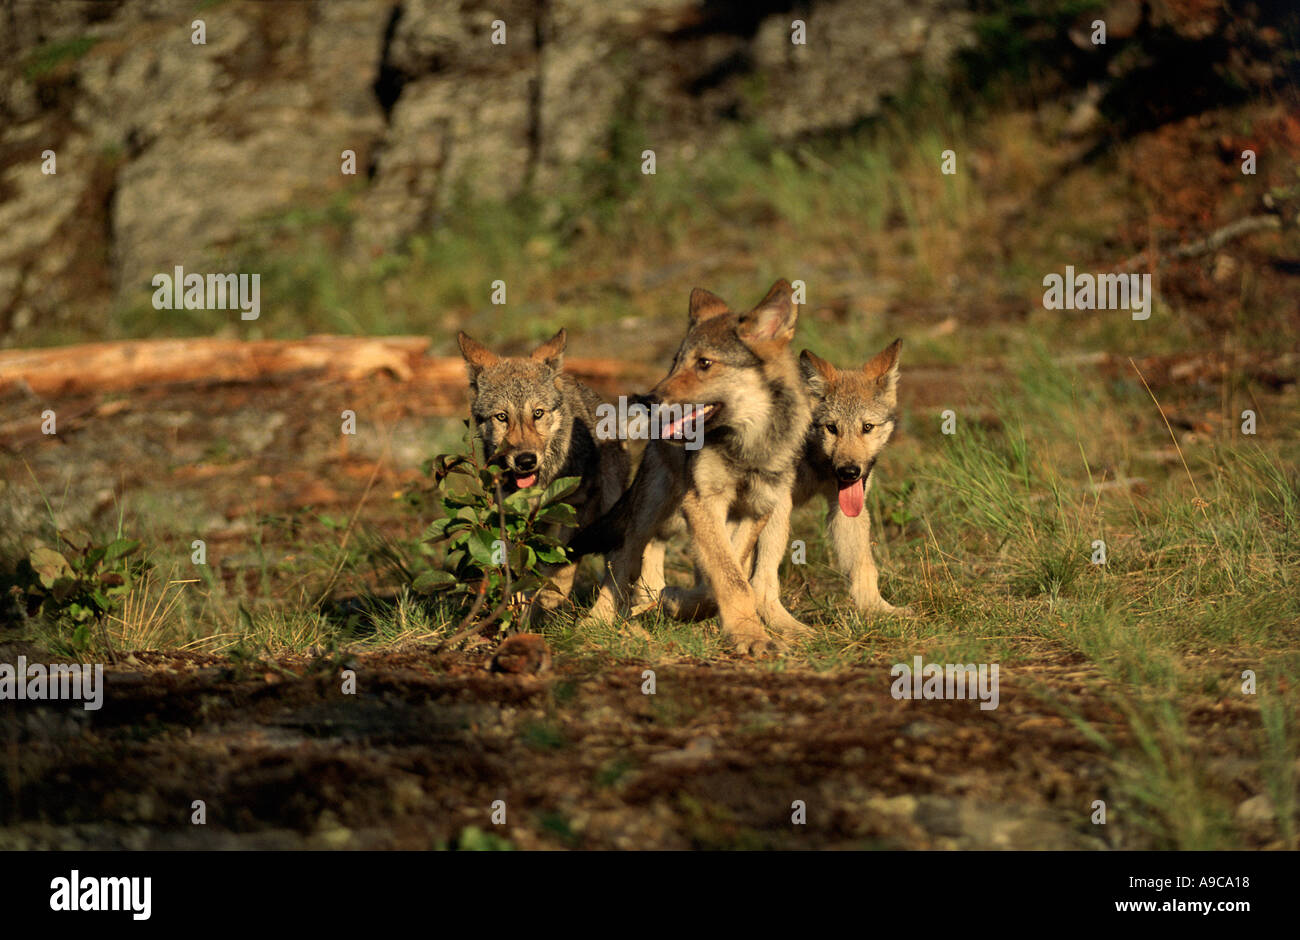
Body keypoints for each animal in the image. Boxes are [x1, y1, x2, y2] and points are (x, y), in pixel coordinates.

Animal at [457, 329, 628, 604]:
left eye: (537, 413)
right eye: (502, 417)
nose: (526, 460)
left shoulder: (581, 505)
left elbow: (564, 560)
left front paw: (550, 596)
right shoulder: (512, 516)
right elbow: (516, 566)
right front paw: (516, 600)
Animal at [574, 280, 812, 654]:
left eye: (704, 363)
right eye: (676, 362)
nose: (648, 399)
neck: (745, 446)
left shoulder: (755, 509)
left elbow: (732, 575)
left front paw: (689, 607)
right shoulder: (701, 502)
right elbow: (729, 578)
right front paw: (748, 635)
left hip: (766, 515)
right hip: (651, 510)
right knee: (621, 560)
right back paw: (595, 624)